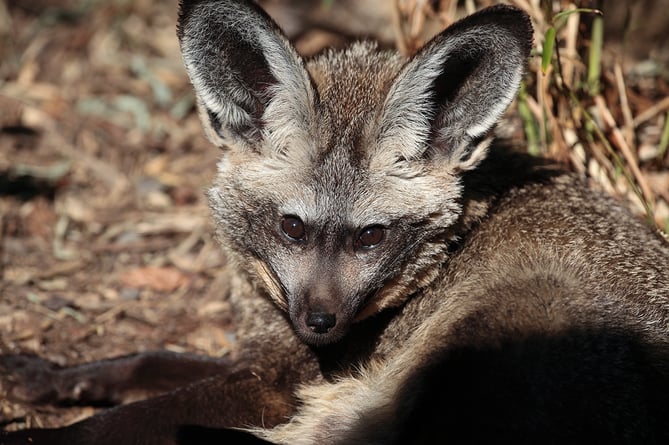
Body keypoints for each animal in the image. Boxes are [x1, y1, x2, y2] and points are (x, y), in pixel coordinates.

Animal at [1, 0, 669, 444]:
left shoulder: (276, 383)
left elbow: (118, 418)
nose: (320, 322)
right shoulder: (269, 358)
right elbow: (138, 362)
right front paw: (40, 375)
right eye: (293, 228)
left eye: (371, 235)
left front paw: (35, 435)